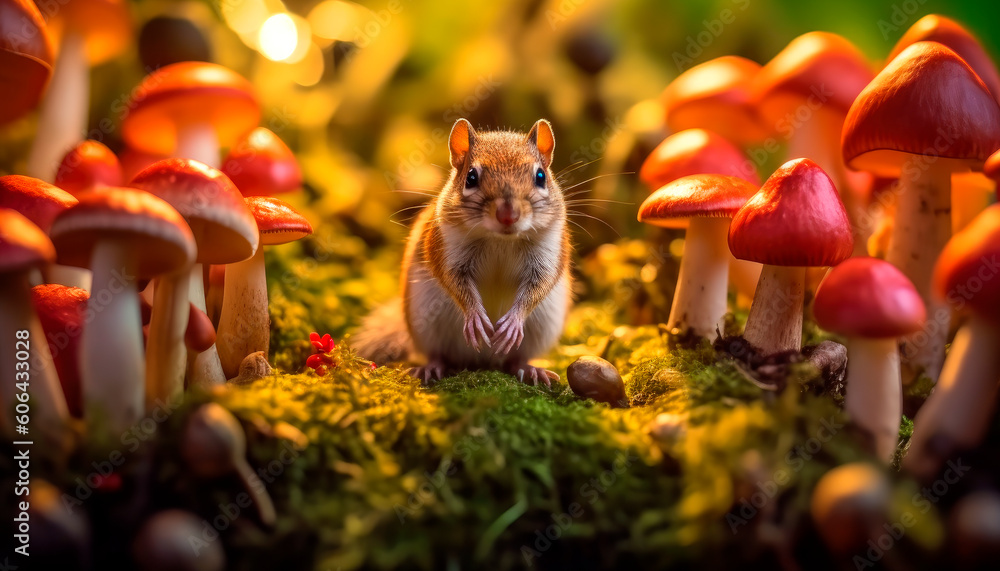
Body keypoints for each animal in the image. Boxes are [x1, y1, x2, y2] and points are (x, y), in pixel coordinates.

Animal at [353, 118, 572, 386]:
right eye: (471, 177)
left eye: (540, 176)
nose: (508, 215)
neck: (500, 240)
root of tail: (483, 361)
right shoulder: (446, 249)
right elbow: (455, 283)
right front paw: (475, 316)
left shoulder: (548, 253)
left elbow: (538, 286)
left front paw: (513, 322)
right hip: (425, 324)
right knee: (439, 354)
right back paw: (431, 368)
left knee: (515, 359)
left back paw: (529, 369)